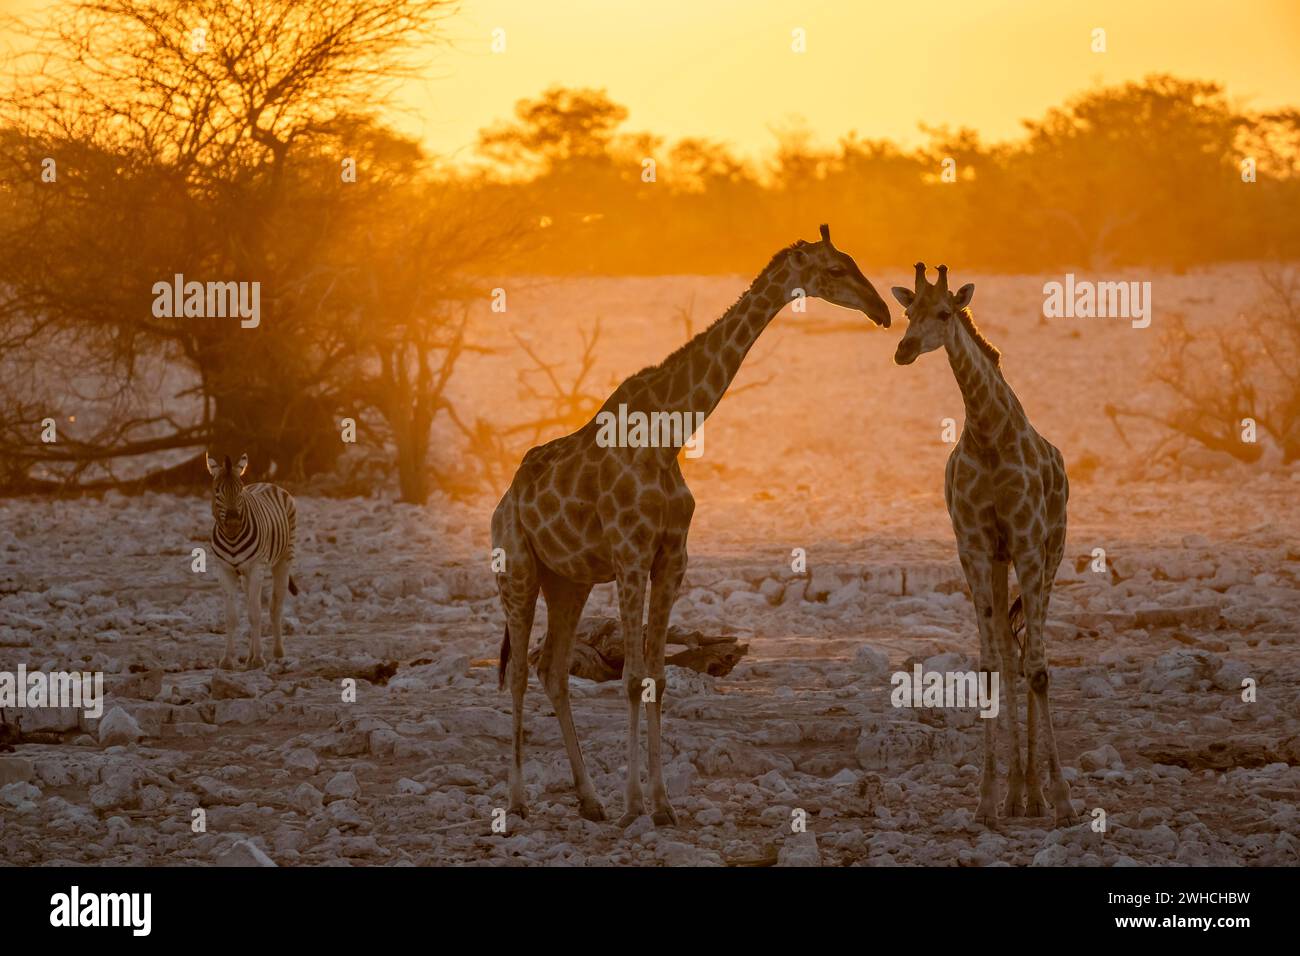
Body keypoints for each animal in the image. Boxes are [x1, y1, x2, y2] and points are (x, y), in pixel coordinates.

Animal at [492, 225, 892, 825]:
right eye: (836, 269)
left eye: (854, 261)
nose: (882, 311)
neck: (669, 435)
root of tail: (504, 502)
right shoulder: (631, 554)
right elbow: (632, 678)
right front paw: (635, 805)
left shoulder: (672, 558)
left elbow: (657, 678)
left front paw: (660, 806)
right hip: (517, 571)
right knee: (519, 671)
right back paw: (519, 803)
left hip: (568, 581)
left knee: (552, 670)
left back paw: (590, 801)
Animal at [891, 262, 1077, 828]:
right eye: (908, 311)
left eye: (944, 312)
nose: (903, 349)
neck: (990, 435)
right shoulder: (973, 546)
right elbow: (991, 666)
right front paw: (986, 801)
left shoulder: (1029, 541)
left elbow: (1039, 669)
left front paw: (1064, 802)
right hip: (999, 561)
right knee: (1010, 654)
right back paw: (1019, 796)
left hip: (1051, 550)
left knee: (1032, 654)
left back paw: (1036, 796)